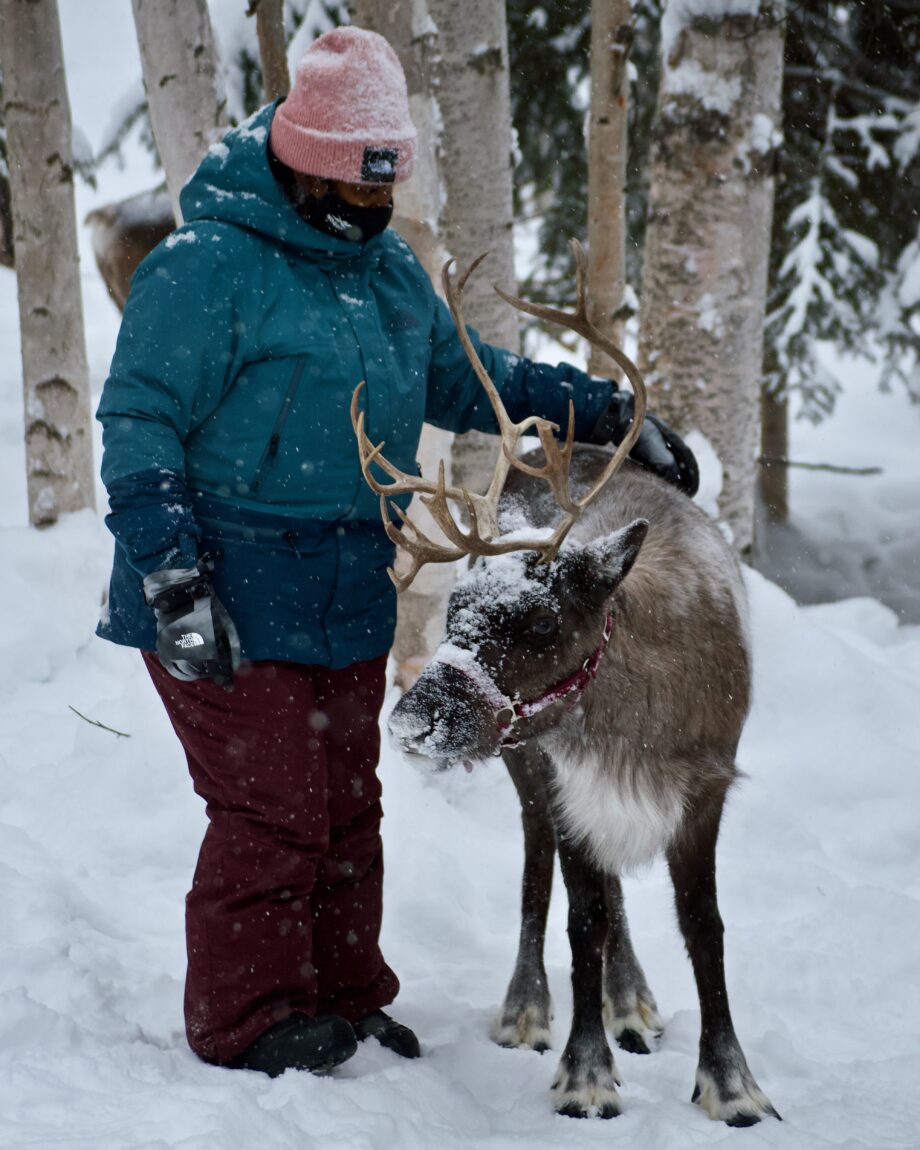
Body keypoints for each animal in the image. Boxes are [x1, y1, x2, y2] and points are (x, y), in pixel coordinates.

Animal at [352, 241, 780, 1127]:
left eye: (542, 625)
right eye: (456, 612)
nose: (408, 725)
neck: (630, 725)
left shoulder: (706, 785)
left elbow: (705, 925)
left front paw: (731, 1083)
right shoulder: (563, 774)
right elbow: (581, 918)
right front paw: (586, 1074)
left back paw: (633, 1002)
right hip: (529, 766)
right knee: (540, 870)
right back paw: (531, 1006)